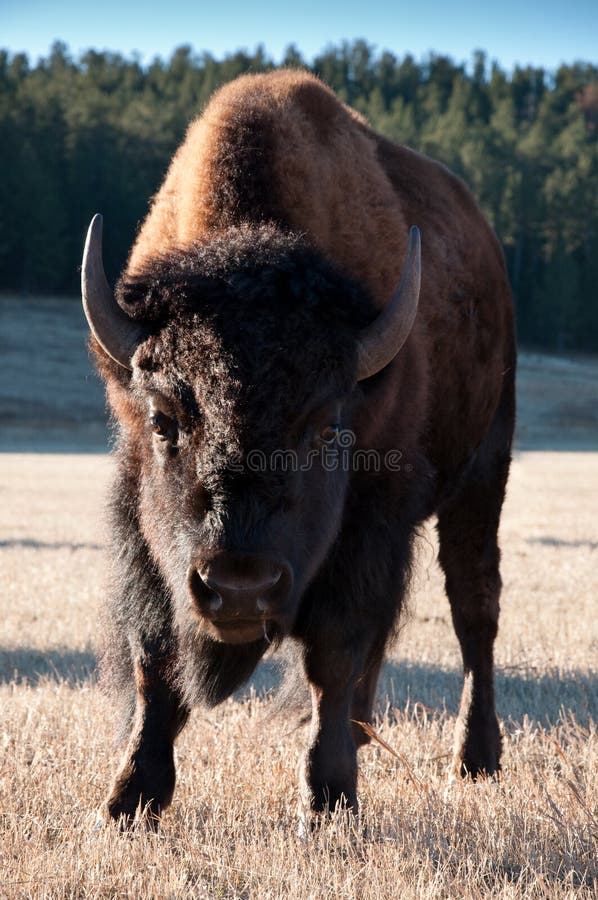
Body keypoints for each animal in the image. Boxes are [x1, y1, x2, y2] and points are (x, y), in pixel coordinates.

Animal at [82, 70, 515, 826]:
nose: (240, 586)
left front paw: (331, 794)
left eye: (326, 427)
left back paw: (475, 756)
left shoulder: (371, 519)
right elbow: (155, 654)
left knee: (473, 605)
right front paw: (131, 795)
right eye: (163, 419)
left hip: (483, 472)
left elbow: (335, 648)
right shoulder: (144, 528)